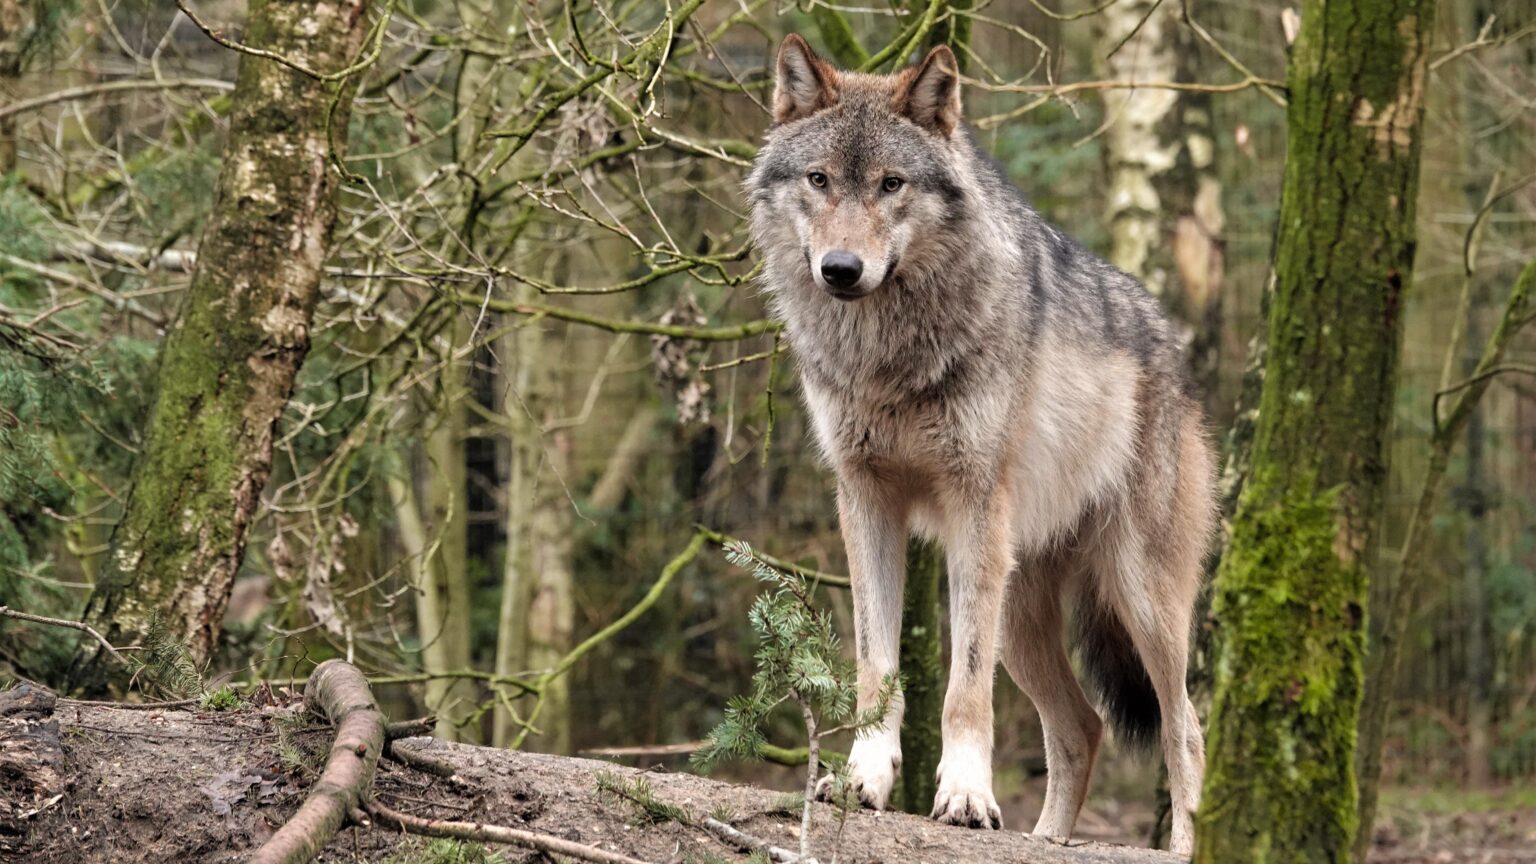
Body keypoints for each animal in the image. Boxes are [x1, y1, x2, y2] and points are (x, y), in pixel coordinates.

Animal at [746, 35, 1217, 854]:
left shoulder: (972, 507)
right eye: (819, 179)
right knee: (1082, 728)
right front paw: (865, 779)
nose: (841, 270)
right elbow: (875, 666)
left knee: (1184, 730)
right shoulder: (865, 503)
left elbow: (963, 690)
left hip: (1135, 599)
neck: (886, 357)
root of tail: (1174, 347)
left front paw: (965, 796)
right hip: (1023, 620)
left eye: (892, 184)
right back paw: (1046, 843)